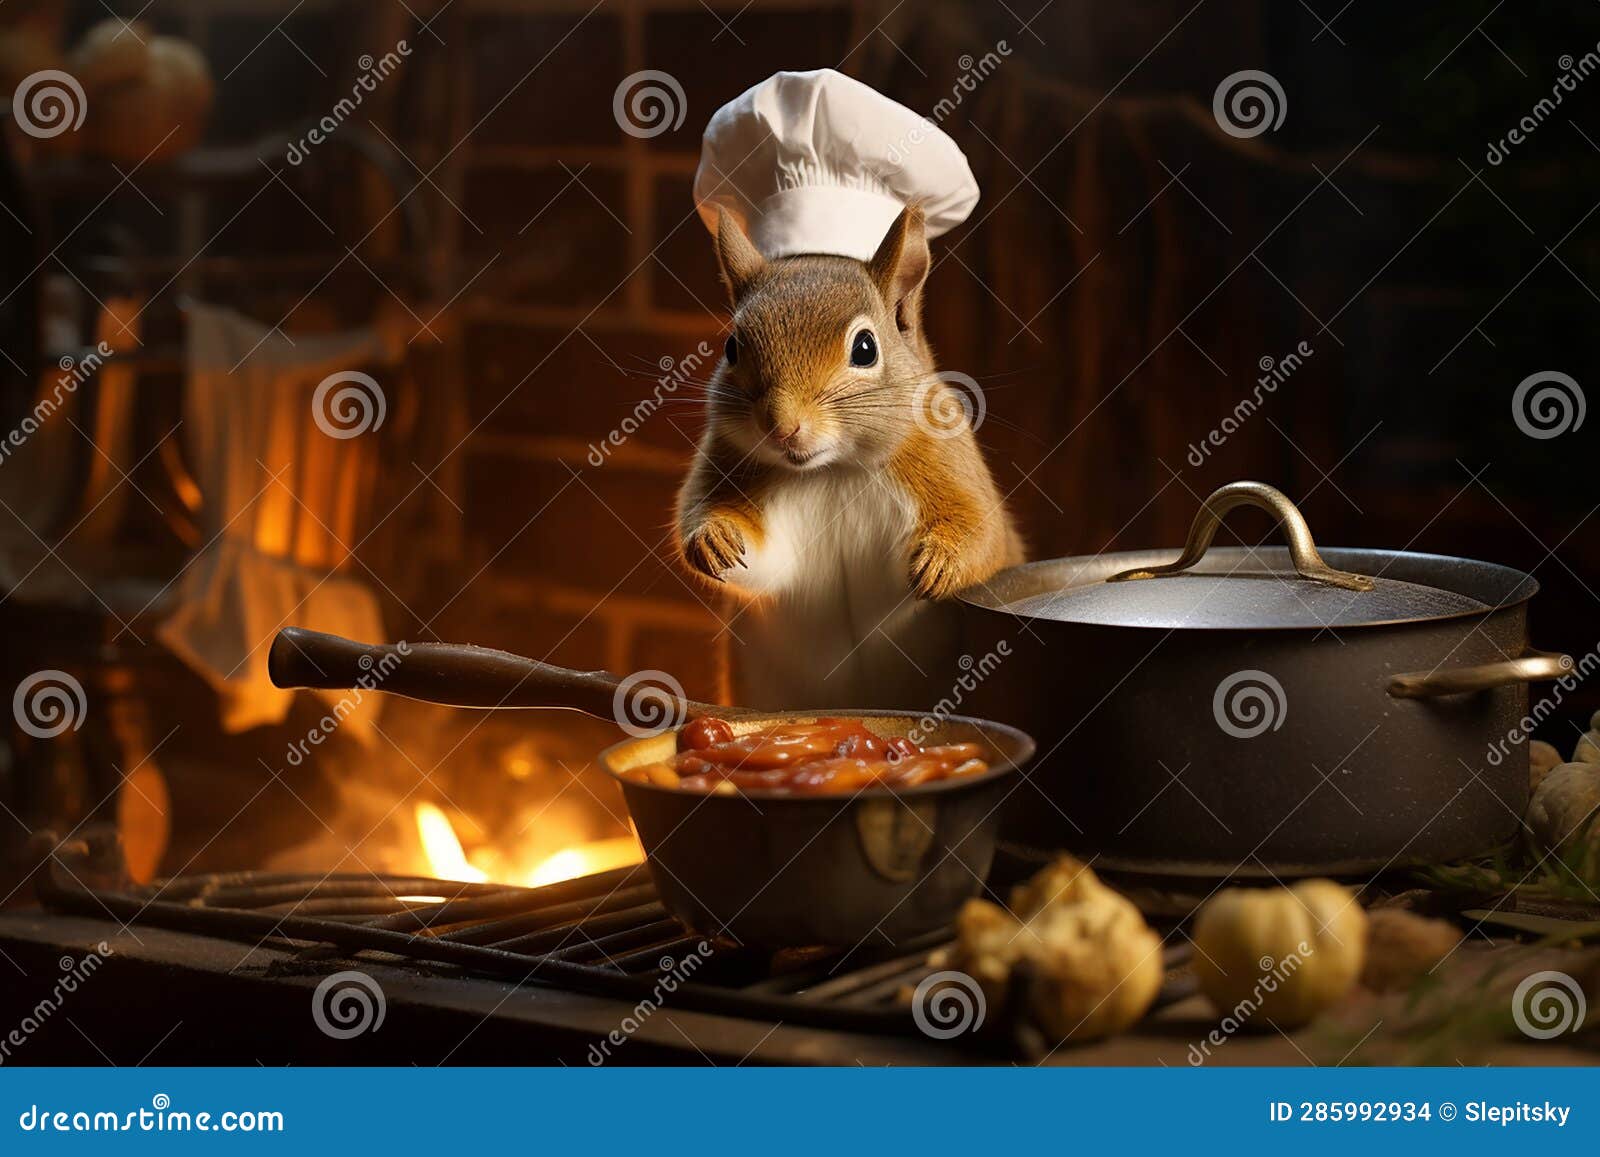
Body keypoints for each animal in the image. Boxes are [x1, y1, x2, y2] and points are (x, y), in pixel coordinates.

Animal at [674, 205, 1024, 710]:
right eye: (732, 347)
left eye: (865, 348)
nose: (783, 426)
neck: (832, 470)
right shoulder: (729, 465)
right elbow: (758, 564)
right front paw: (713, 537)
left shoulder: (948, 468)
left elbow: (983, 533)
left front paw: (940, 562)